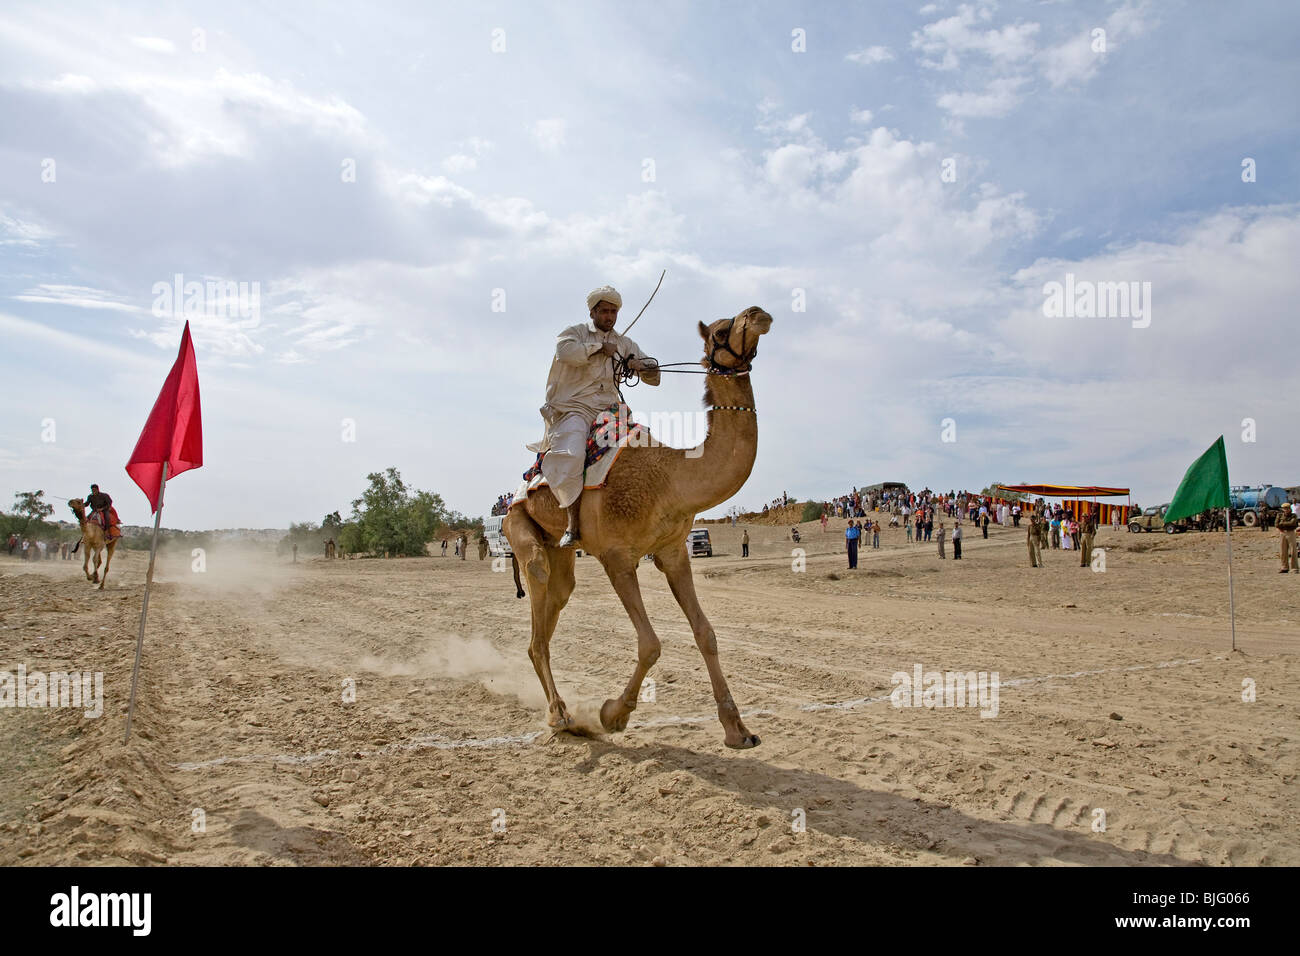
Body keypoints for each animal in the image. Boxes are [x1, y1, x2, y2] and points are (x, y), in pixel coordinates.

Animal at [503, 306, 772, 749]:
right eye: (720, 330)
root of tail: (519, 491)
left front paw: (738, 730)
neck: (671, 477)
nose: (758, 314)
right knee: (537, 612)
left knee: (553, 605)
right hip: (517, 523)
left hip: (559, 551)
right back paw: (560, 716)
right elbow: (650, 644)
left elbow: (706, 633)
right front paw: (612, 715)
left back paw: (561, 712)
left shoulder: (673, 552)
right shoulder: (617, 558)